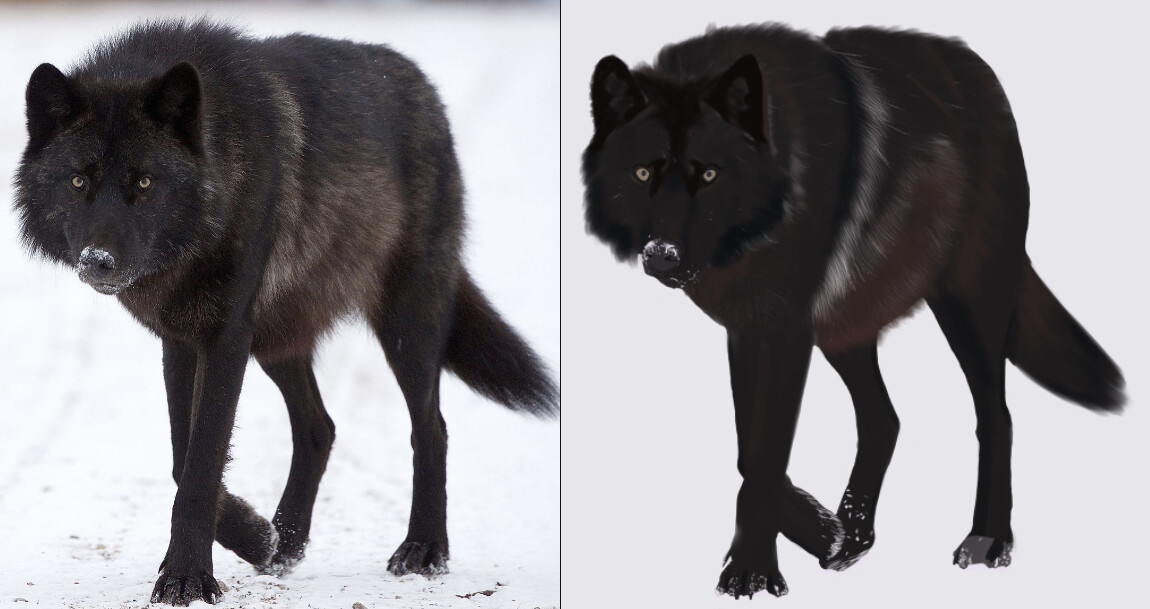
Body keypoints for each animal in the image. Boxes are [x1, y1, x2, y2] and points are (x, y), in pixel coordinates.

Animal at [14, 19, 558, 606]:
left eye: (143, 182)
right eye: (78, 181)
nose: (99, 261)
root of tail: (423, 87)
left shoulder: (226, 335)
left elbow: (201, 461)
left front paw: (188, 577)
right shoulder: (181, 338)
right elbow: (184, 457)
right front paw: (256, 538)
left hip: (404, 325)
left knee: (430, 428)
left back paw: (424, 550)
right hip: (277, 339)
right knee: (320, 428)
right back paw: (285, 543)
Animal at [582, 24, 1125, 598]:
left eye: (708, 174)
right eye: (643, 172)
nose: (663, 255)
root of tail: (977, 67)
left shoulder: (786, 330)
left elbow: (765, 454)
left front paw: (751, 572)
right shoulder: (748, 328)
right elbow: (749, 452)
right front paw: (826, 535)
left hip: (966, 305)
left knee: (995, 417)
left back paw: (988, 539)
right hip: (844, 331)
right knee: (885, 419)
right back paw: (854, 535)